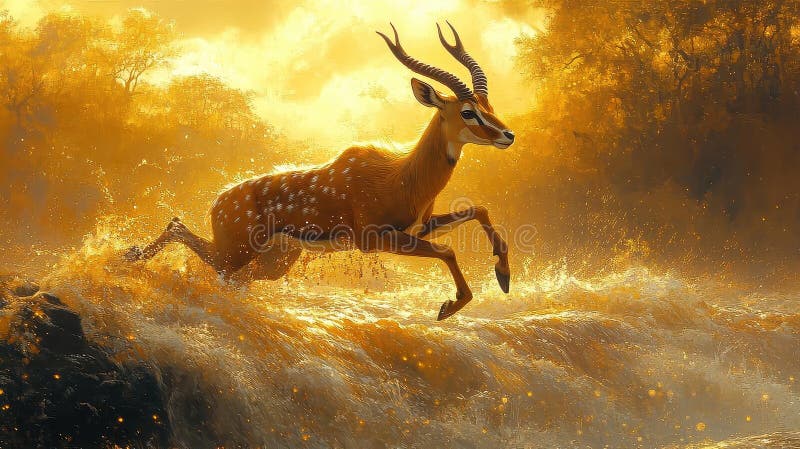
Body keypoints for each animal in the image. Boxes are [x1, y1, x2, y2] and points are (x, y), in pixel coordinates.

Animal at [126, 22, 515, 320]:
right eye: (467, 111)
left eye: (489, 104)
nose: (508, 135)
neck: (403, 176)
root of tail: (218, 201)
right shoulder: (373, 238)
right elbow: (447, 250)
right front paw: (448, 307)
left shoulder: (422, 224)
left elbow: (479, 209)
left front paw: (503, 276)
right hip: (236, 252)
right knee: (182, 231)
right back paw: (131, 253)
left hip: (272, 262)